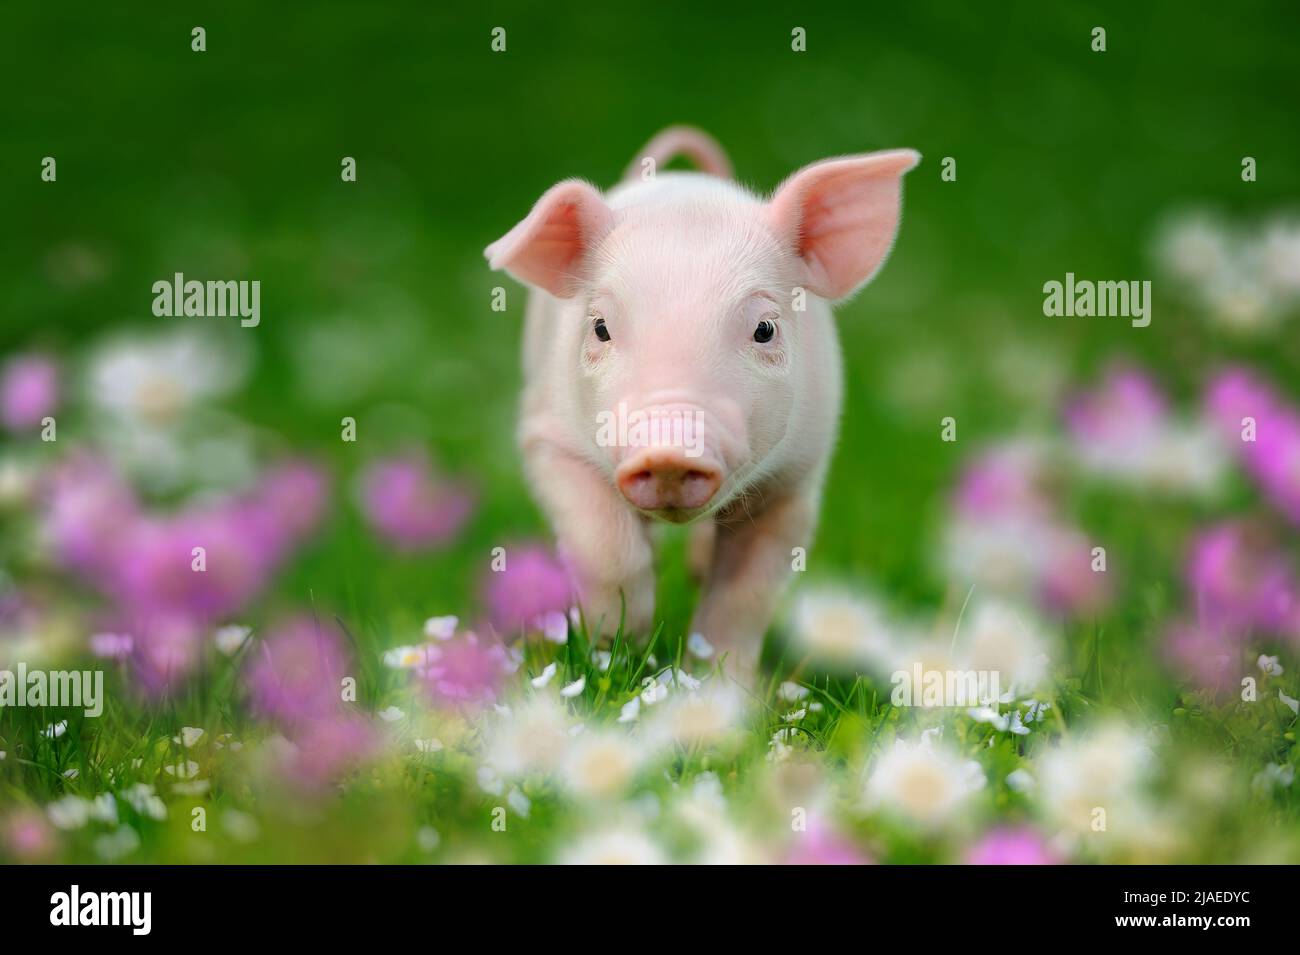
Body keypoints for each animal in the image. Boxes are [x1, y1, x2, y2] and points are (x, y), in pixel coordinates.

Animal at [486, 125, 919, 684]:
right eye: (600, 327)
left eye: (764, 328)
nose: (669, 450)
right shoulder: (547, 437)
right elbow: (605, 547)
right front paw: (615, 646)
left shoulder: (796, 477)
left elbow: (745, 594)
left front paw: (720, 685)